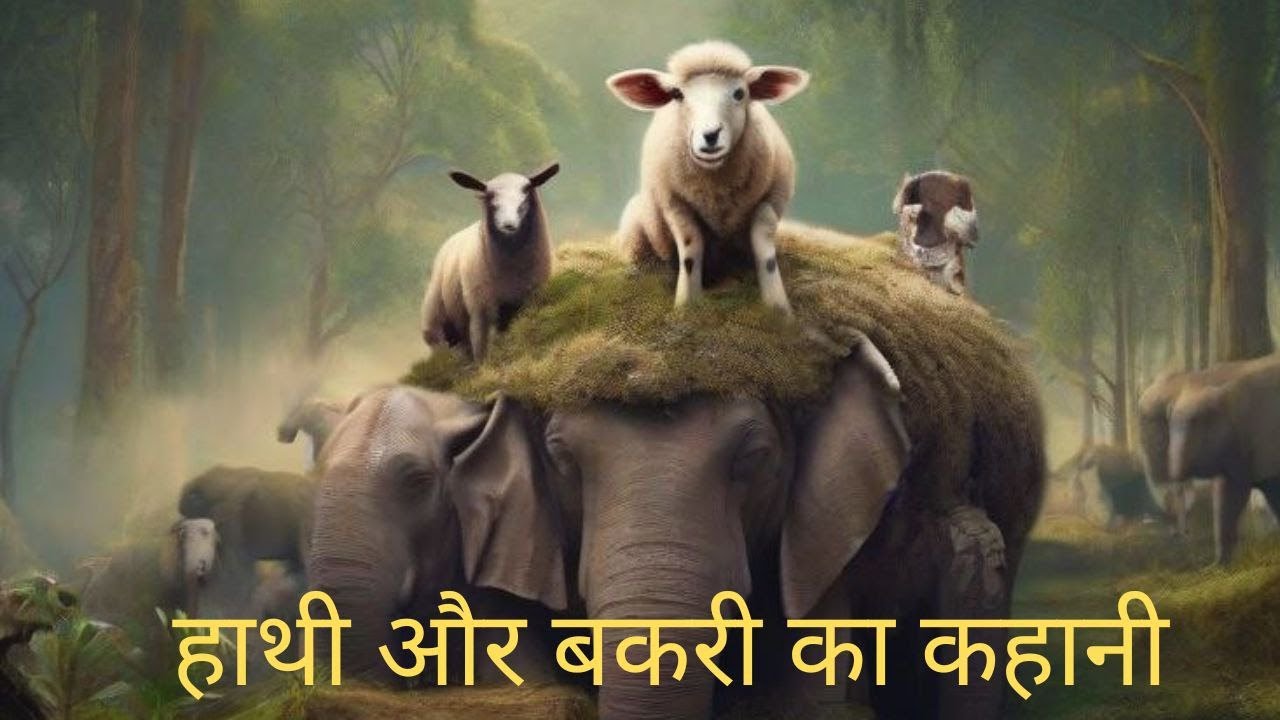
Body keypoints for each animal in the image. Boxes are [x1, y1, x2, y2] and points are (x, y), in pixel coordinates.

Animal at [421, 163, 559, 360]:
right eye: (492, 201)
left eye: (524, 199)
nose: (508, 225)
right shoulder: (480, 310)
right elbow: (481, 349)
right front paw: (484, 366)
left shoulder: (529, 302)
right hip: (439, 327)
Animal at [607, 41, 809, 313]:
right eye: (677, 94)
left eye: (739, 93)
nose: (711, 135)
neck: (717, 186)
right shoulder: (674, 203)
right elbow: (691, 251)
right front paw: (686, 305)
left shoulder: (772, 199)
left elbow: (764, 249)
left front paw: (778, 308)